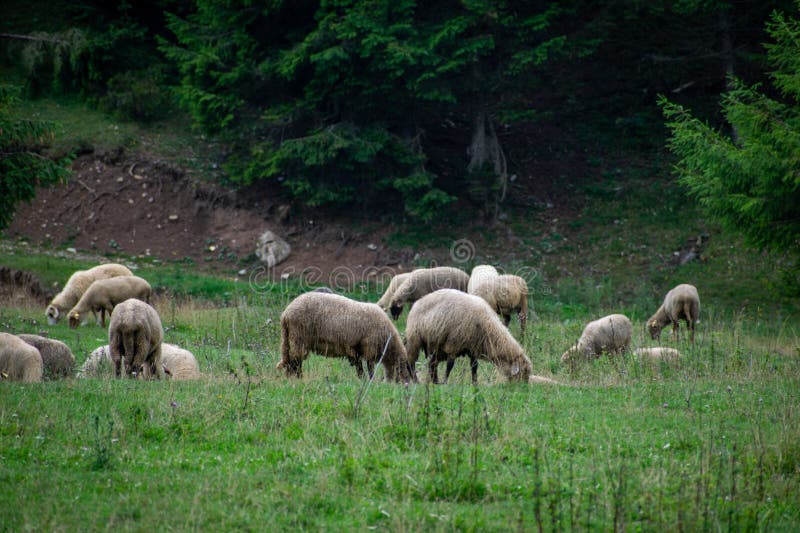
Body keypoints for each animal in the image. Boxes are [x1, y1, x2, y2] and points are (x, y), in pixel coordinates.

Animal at [278, 291, 411, 382]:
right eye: (403, 368)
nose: (405, 385)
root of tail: (286, 314)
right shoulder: (369, 347)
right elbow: (369, 367)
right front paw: (370, 381)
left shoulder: (356, 349)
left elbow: (359, 367)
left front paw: (362, 380)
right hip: (299, 337)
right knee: (296, 361)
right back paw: (299, 378)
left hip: (291, 339)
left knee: (291, 361)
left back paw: (290, 377)